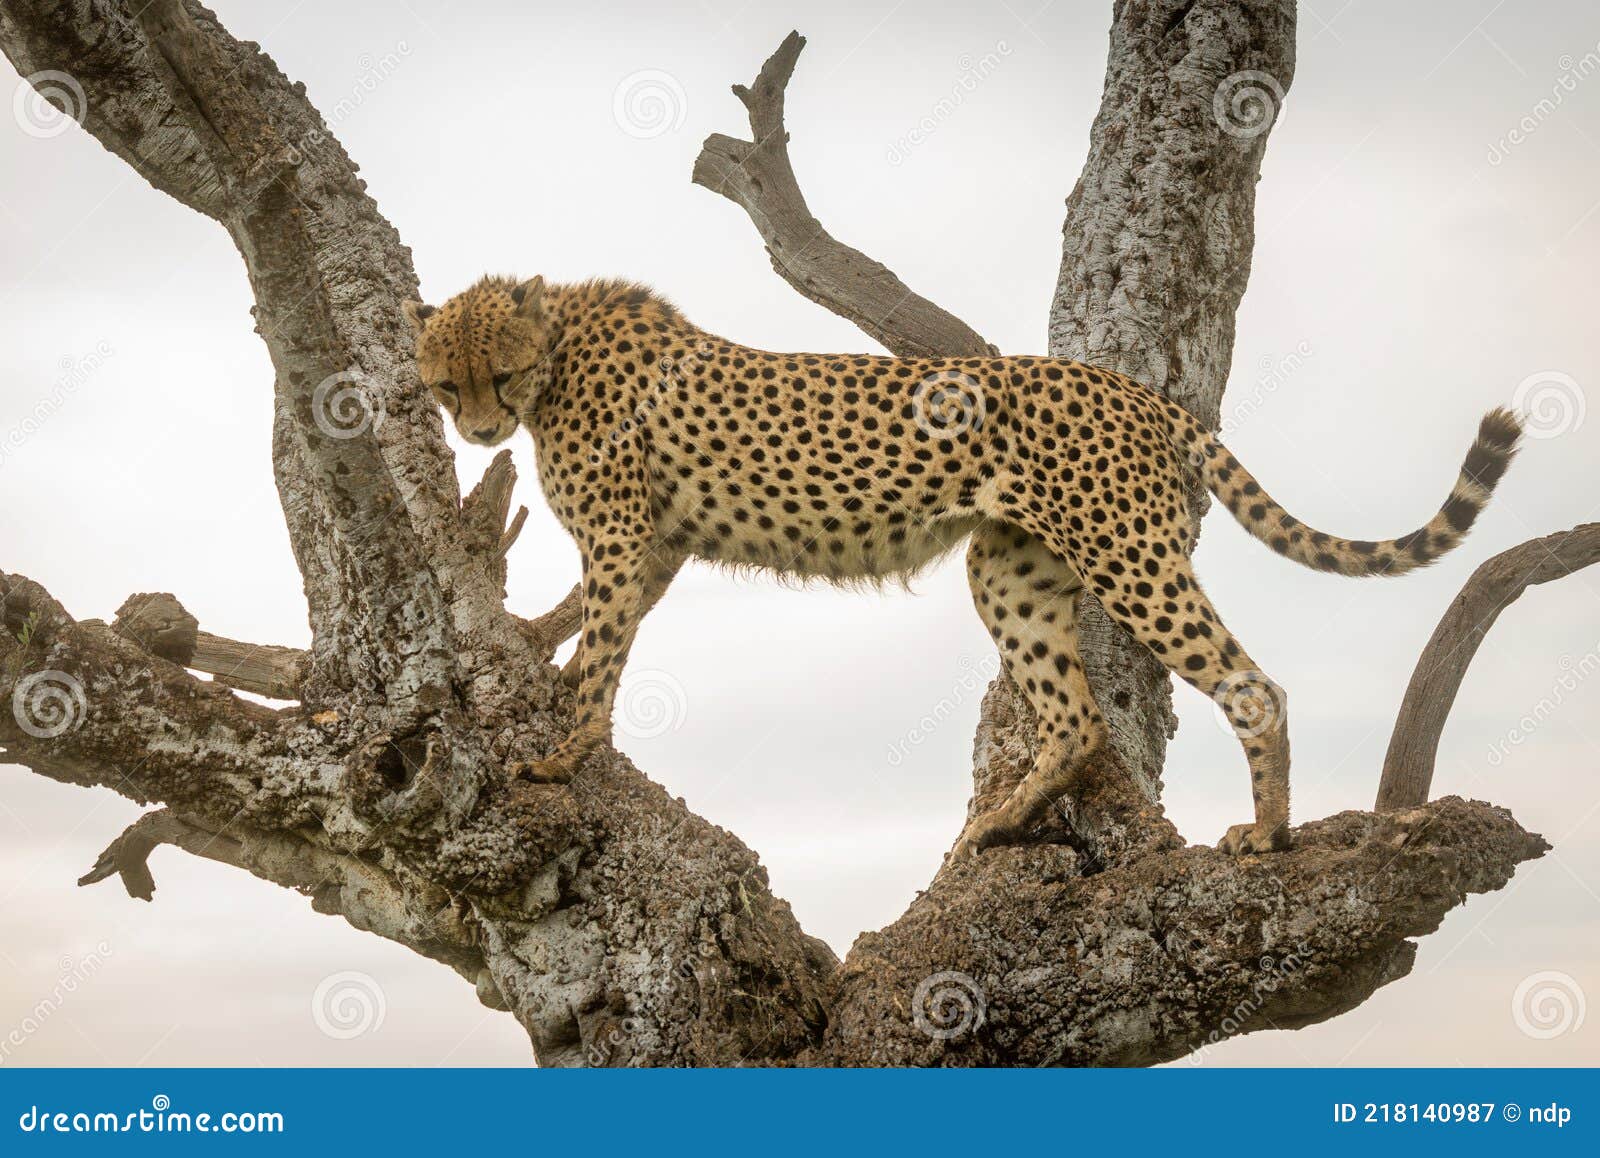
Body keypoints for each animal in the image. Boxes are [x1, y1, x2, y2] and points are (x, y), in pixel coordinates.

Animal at [404, 274, 1522, 858]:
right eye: (446, 382)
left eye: (498, 373)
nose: (479, 430)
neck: (556, 349)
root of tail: (1137, 391)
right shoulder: (661, 543)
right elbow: (606, 629)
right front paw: (557, 690)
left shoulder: (623, 536)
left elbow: (604, 648)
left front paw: (562, 753)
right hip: (1011, 573)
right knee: (1074, 716)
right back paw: (1005, 820)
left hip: (1128, 556)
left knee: (1251, 685)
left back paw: (1270, 833)